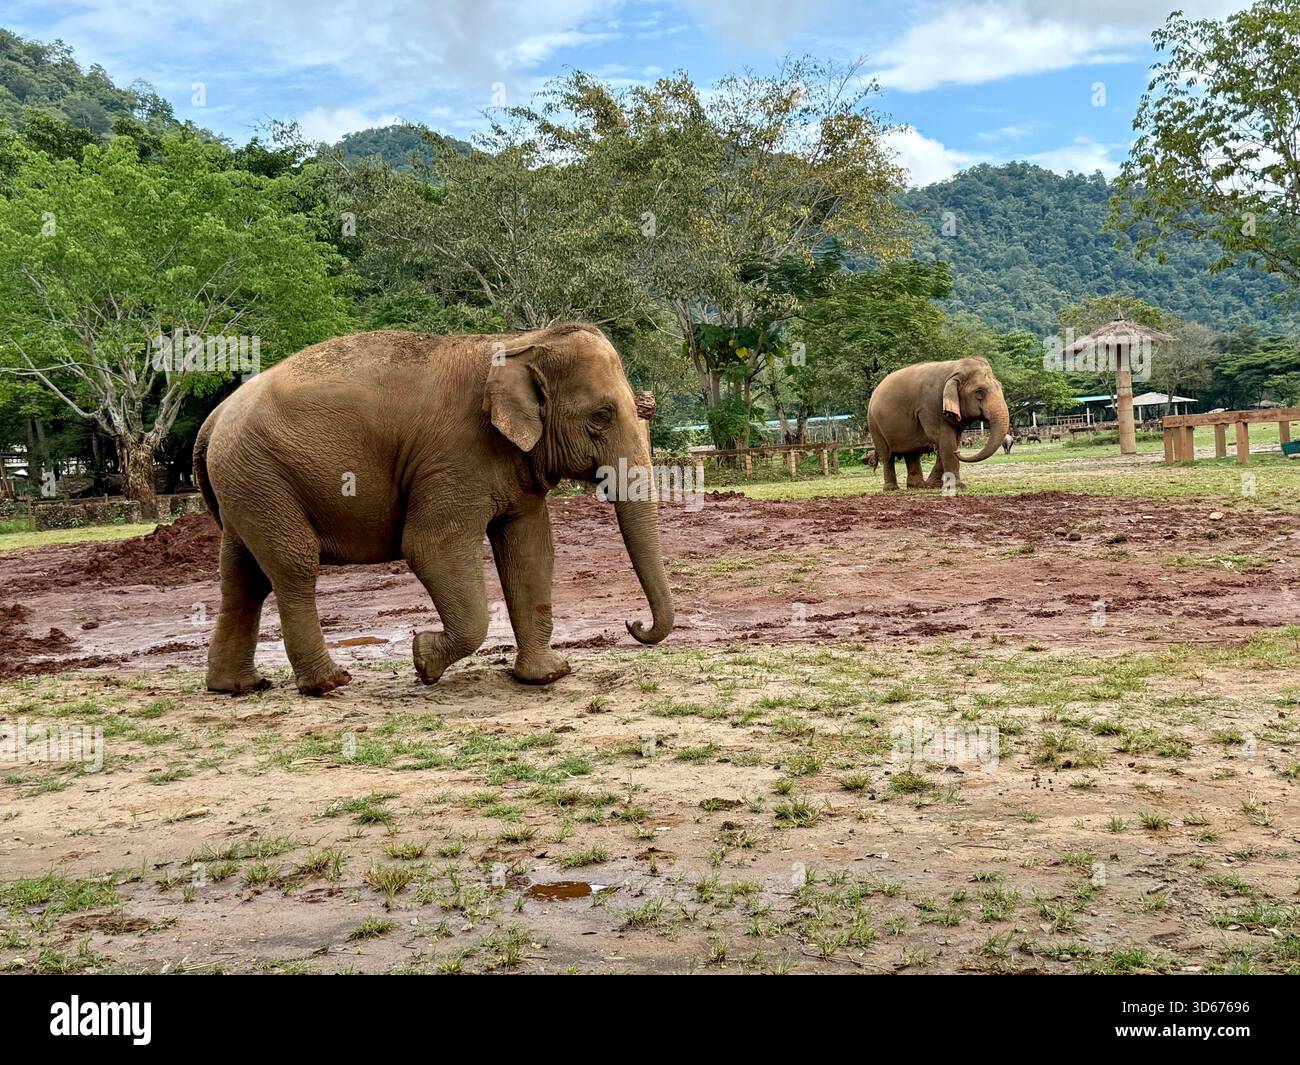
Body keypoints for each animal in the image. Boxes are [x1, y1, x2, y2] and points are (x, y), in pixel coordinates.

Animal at [193, 323, 674, 696]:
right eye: (601, 415)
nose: (633, 624)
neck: (520, 341)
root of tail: (212, 420)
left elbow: (531, 549)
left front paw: (547, 677)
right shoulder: (454, 457)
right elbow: (430, 547)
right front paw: (423, 659)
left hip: (247, 487)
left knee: (244, 576)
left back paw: (237, 686)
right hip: (262, 477)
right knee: (293, 566)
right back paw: (328, 684)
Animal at [866, 357, 1010, 491]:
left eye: (1001, 387)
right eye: (979, 392)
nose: (959, 451)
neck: (954, 368)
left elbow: (951, 441)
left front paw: (935, 485)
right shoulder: (930, 407)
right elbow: (944, 440)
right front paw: (958, 486)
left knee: (911, 453)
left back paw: (917, 486)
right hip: (874, 425)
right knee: (887, 456)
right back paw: (891, 488)